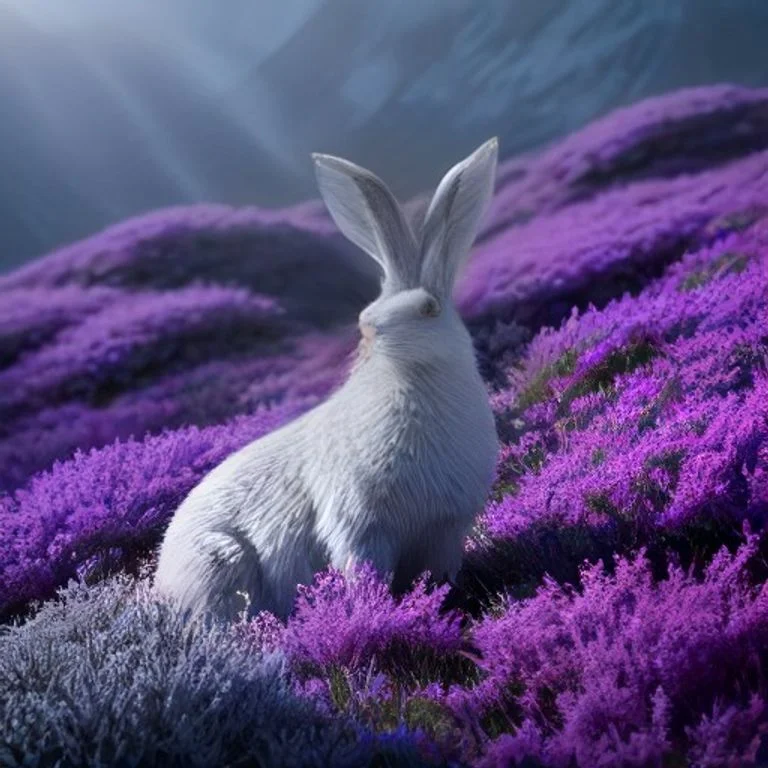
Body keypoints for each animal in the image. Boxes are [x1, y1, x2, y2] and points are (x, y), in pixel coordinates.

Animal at [154, 138, 500, 622]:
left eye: (429, 308)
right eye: (373, 305)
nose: (368, 326)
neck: (408, 377)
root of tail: (161, 582)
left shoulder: (446, 530)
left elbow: (441, 575)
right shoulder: (359, 526)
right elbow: (364, 574)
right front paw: (375, 614)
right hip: (220, 564)